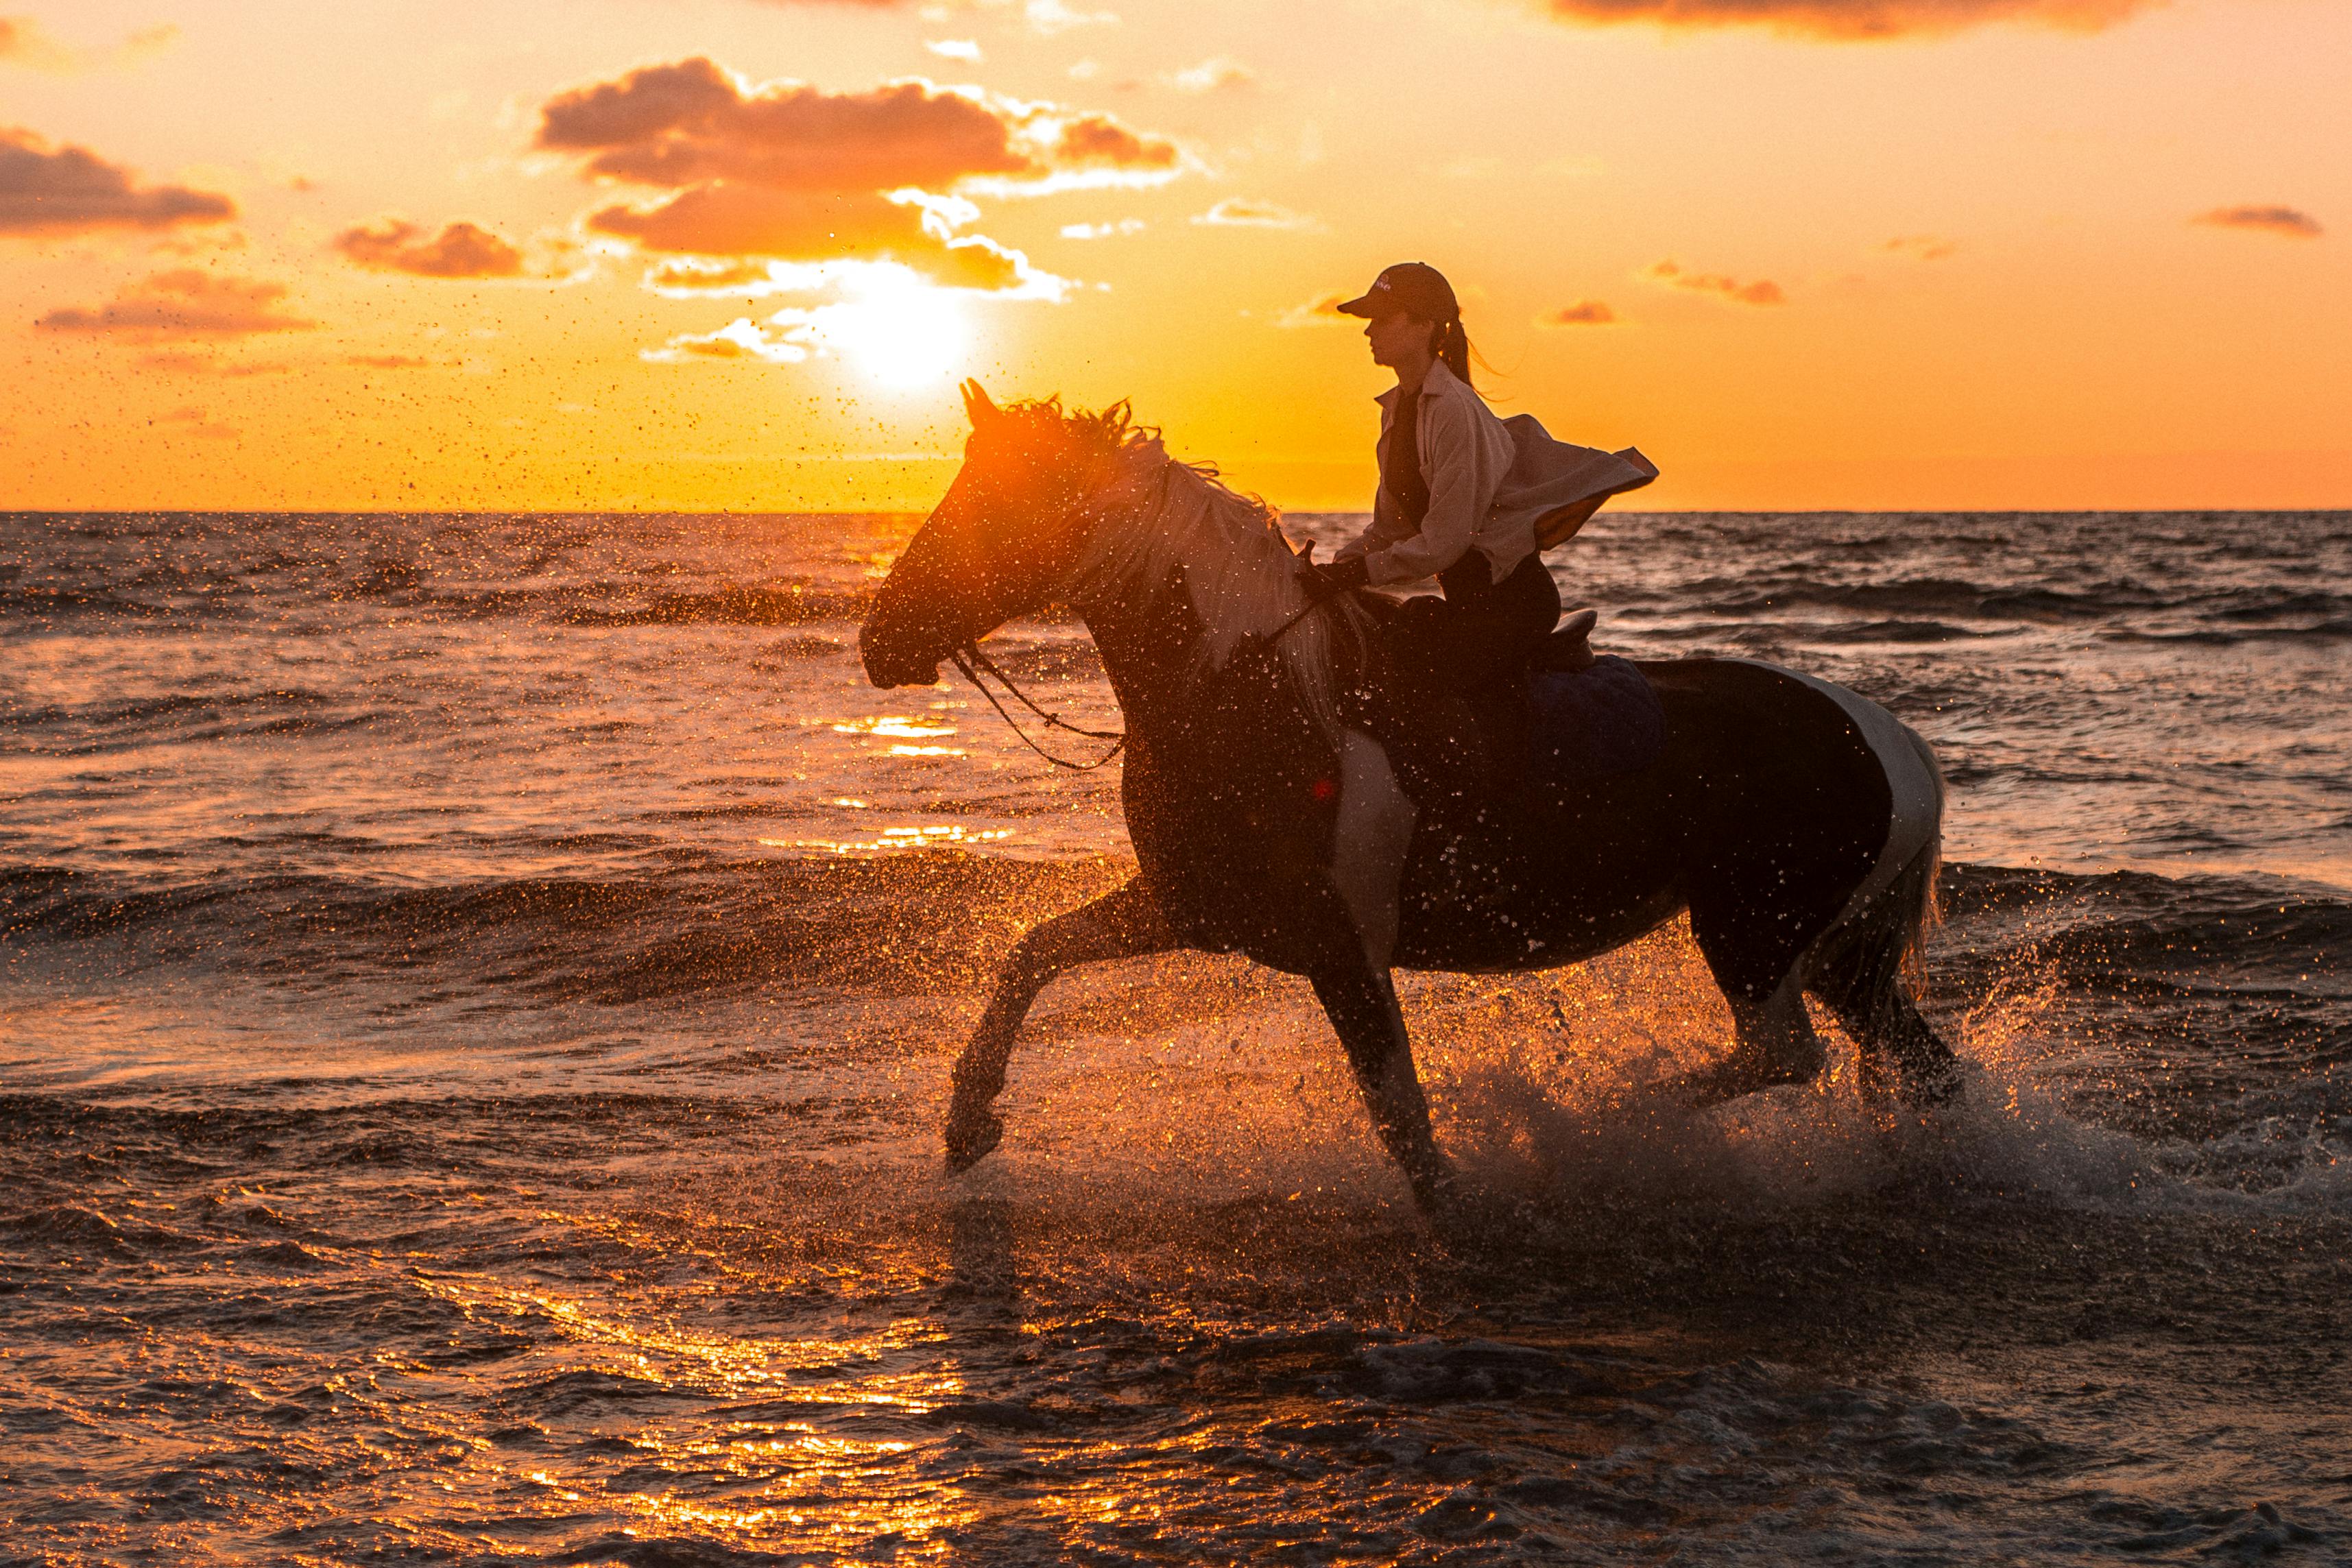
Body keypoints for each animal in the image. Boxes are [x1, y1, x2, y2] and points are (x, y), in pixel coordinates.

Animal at [859, 384, 1963, 1215]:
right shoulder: (1196, 908)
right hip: (1838, 949)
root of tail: (1890, 737)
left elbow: (1403, 1120)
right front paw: (966, 1124)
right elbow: (1033, 952)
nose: (879, 641)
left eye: (997, 505)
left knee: (1781, 1052)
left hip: (1756, 933)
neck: (1251, 691)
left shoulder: (1340, 950)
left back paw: (1605, 1119)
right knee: (1917, 1063)